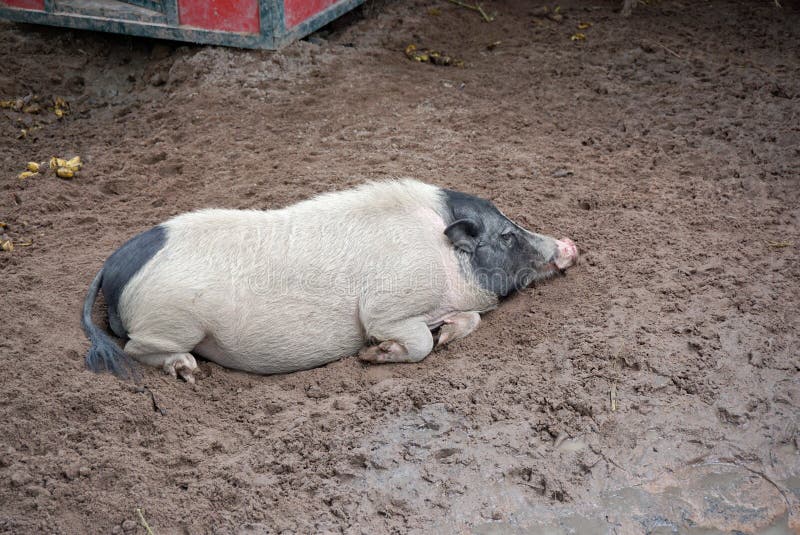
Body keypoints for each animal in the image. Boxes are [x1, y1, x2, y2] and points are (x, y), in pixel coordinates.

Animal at [82, 179, 578, 382]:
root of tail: (112, 265)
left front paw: (446, 334)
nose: (569, 244)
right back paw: (187, 371)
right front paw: (371, 355)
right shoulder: (387, 306)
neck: (439, 254)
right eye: (507, 235)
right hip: (172, 322)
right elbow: (415, 341)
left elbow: (469, 319)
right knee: (135, 349)